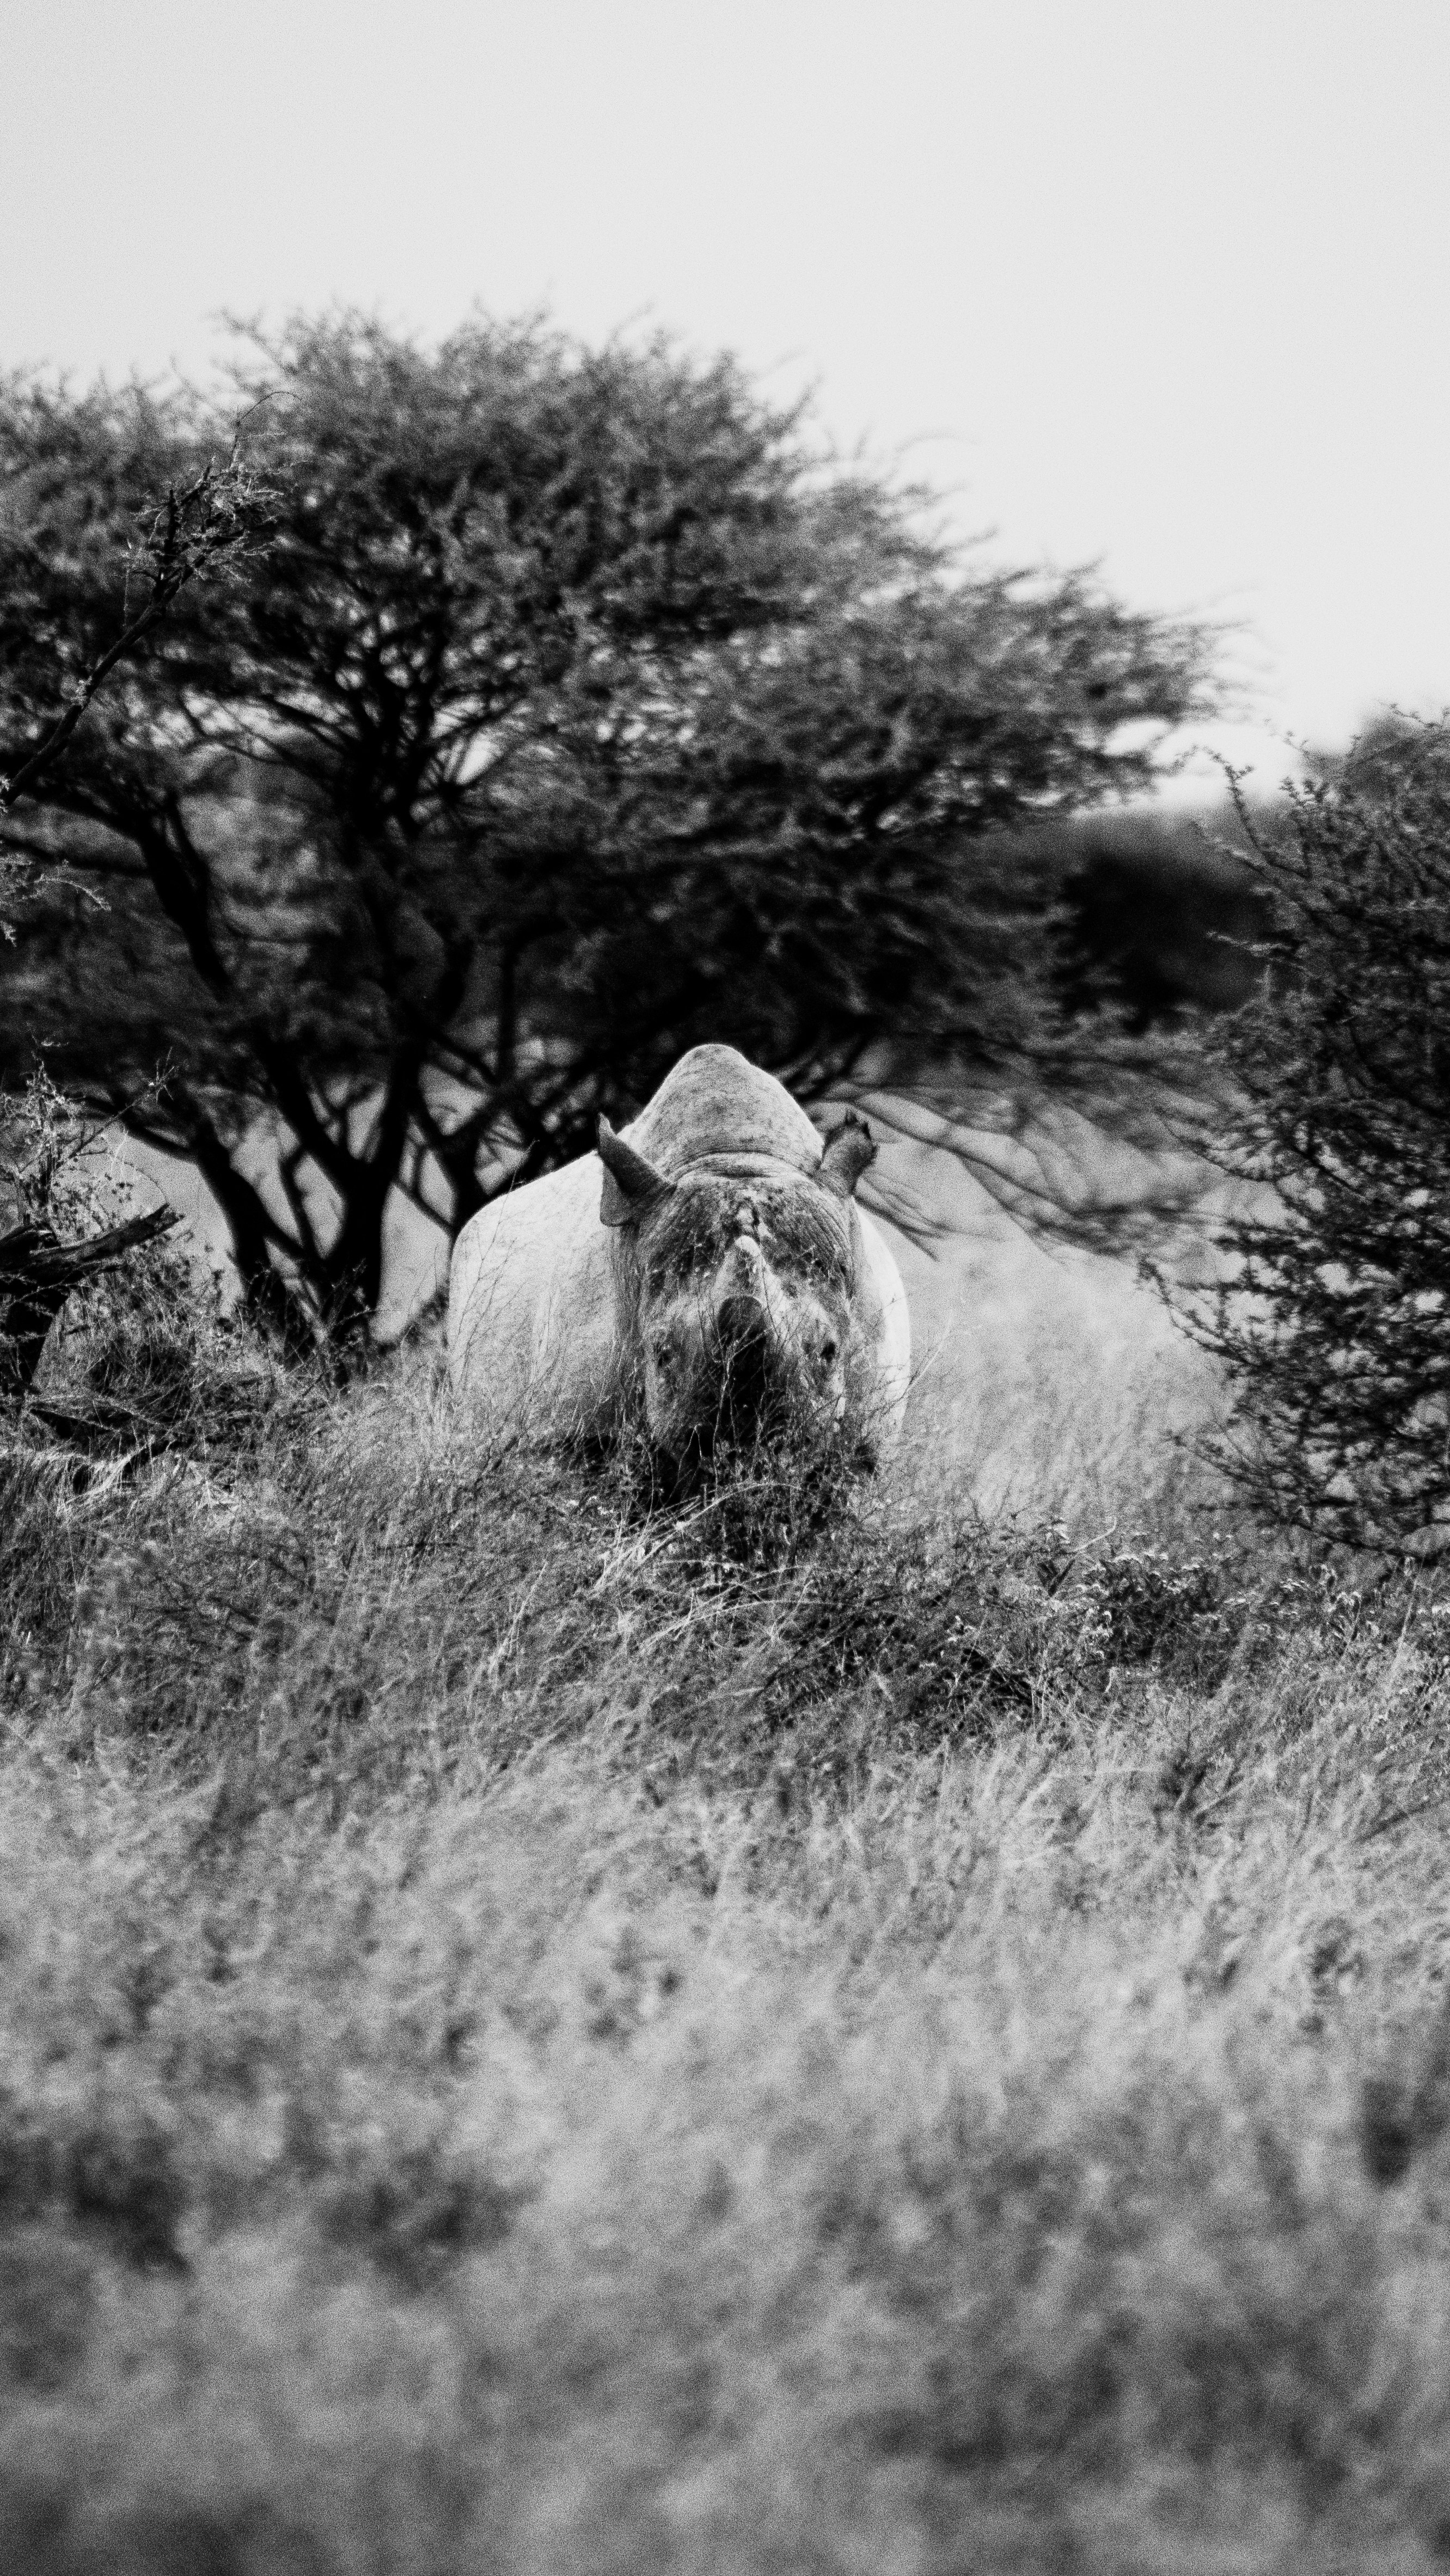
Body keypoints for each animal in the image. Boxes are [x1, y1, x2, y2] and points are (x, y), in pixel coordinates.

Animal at [447, 1045, 910, 1472]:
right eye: (661, 1353)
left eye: (830, 1351)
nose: (741, 1444)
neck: (738, 1157)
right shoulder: (566, 1431)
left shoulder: (865, 1446)